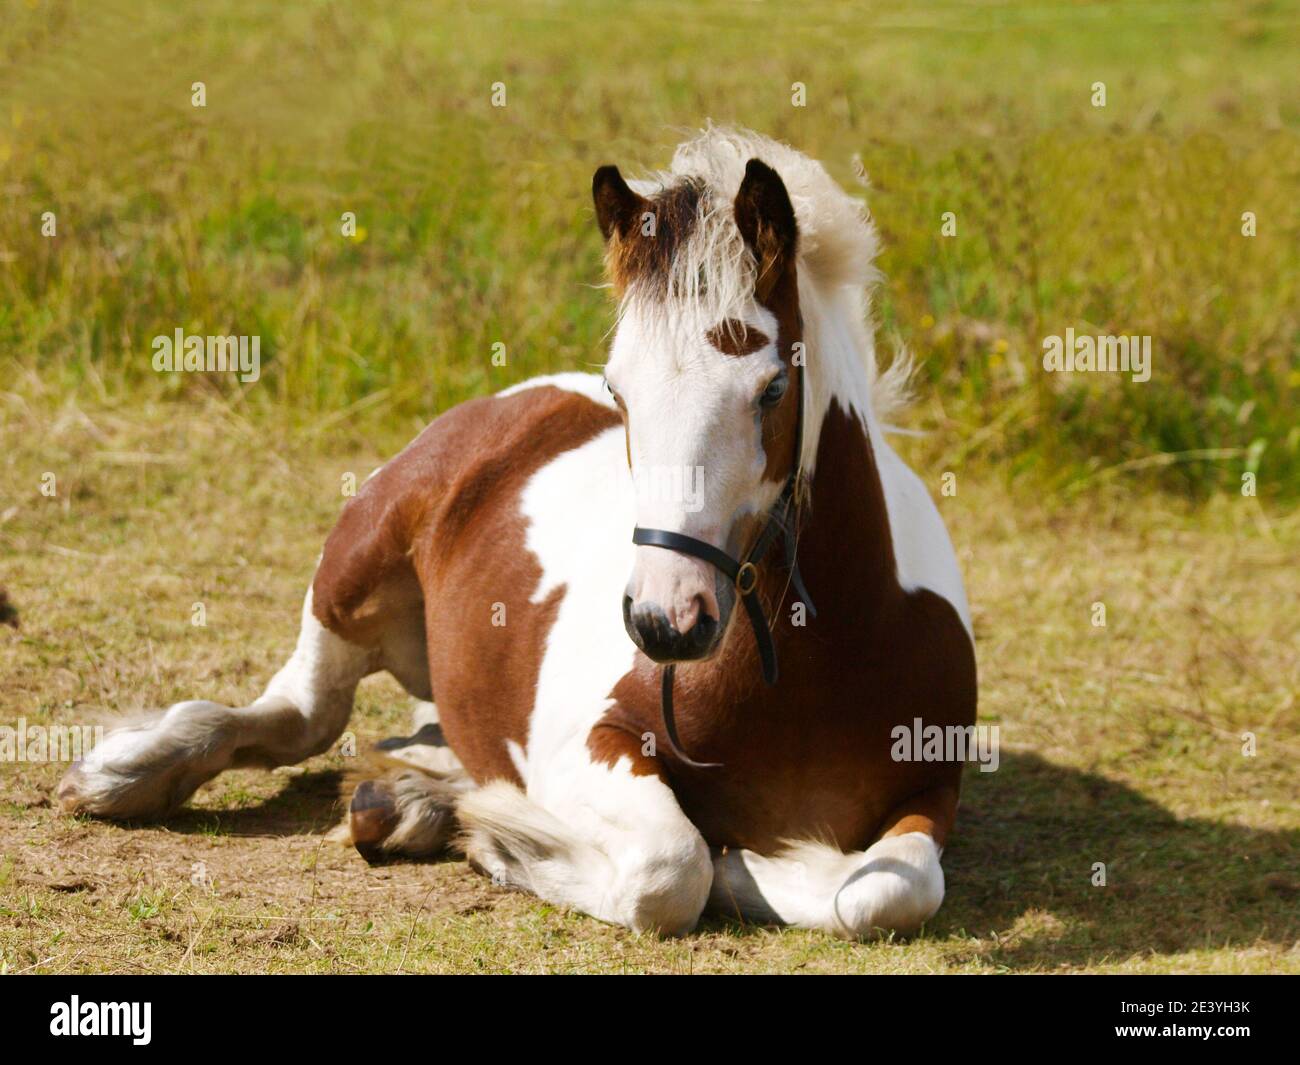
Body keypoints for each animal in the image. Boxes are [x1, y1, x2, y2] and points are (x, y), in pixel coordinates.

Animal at [58, 127, 977, 939]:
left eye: (772, 388)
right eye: (621, 389)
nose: (664, 621)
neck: (804, 680)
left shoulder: (932, 792)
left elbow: (886, 892)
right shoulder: (589, 747)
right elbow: (673, 867)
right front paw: (506, 839)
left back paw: (411, 796)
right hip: (352, 566)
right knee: (303, 711)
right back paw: (129, 771)